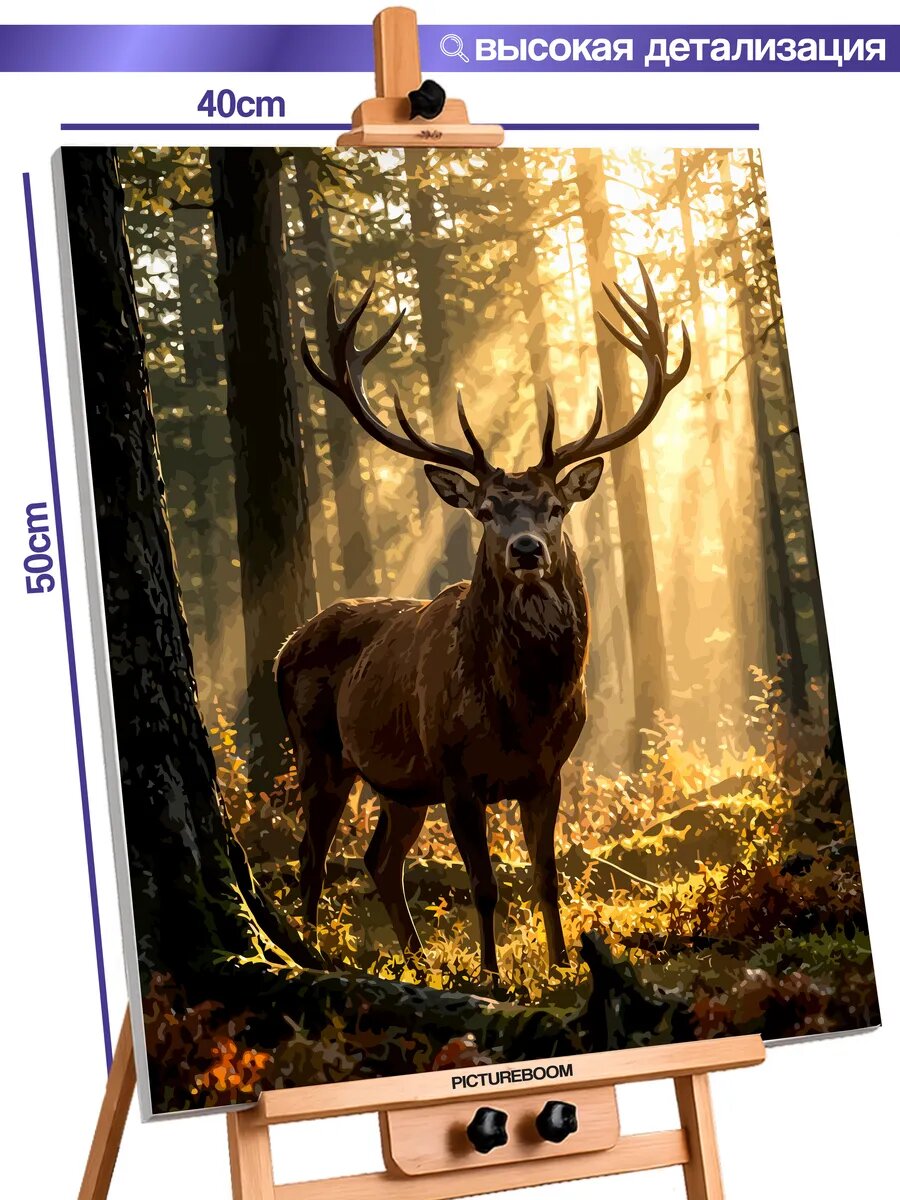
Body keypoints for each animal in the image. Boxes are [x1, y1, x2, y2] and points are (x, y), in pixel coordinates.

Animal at [275, 262, 690, 980]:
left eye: (555, 506)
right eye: (487, 509)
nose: (527, 549)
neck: (524, 708)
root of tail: (282, 646)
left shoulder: (549, 772)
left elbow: (546, 875)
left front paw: (560, 968)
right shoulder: (455, 773)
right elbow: (485, 884)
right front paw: (494, 976)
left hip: (400, 785)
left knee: (380, 860)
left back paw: (420, 965)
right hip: (320, 750)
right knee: (312, 858)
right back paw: (316, 953)